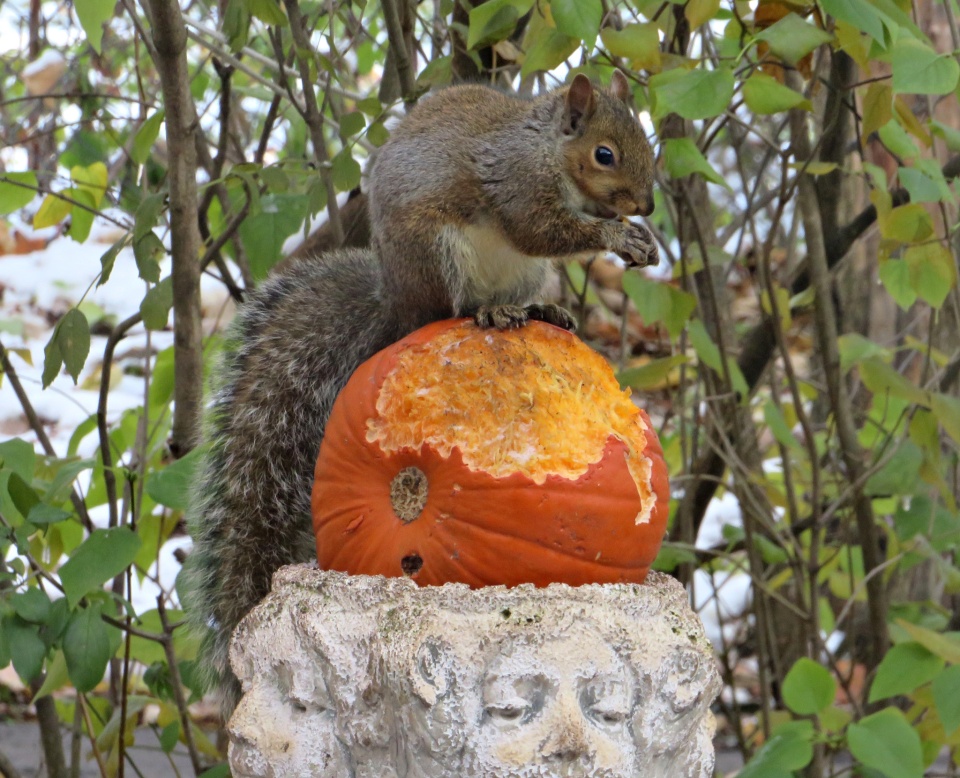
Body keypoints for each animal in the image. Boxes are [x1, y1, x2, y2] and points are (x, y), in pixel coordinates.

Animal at [182, 68, 659, 718]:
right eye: (604, 154)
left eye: (646, 140)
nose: (647, 205)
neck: (546, 150)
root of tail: (397, 303)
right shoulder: (517, 185)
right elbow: (541, 230)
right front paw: (616, 234)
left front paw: (641, 238)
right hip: (437, 250)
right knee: (451, 309)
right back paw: (489, 313)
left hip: (521, 272)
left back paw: (542, 310)